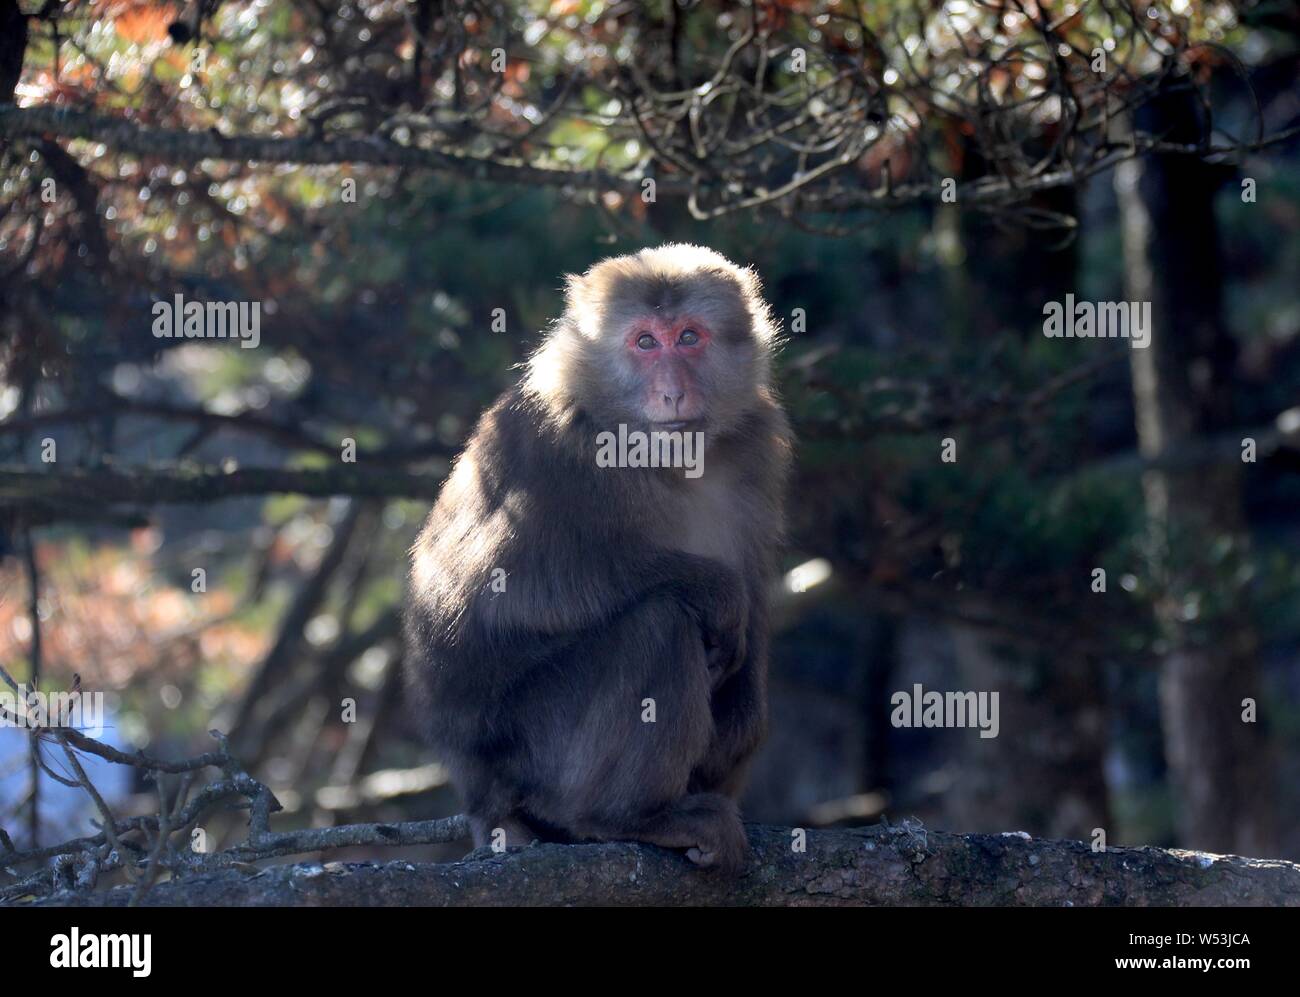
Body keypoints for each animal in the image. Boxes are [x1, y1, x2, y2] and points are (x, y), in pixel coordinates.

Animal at [404, 244, 790, 872]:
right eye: (645, 342)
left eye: (688, 337)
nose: (672, 392)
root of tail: (479, 795)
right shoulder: (556, 446)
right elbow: (506, 592)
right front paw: (715, 590)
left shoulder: (757, 445)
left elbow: (754, 593)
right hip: (533, 745)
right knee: (657, 626)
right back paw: (625, 818)